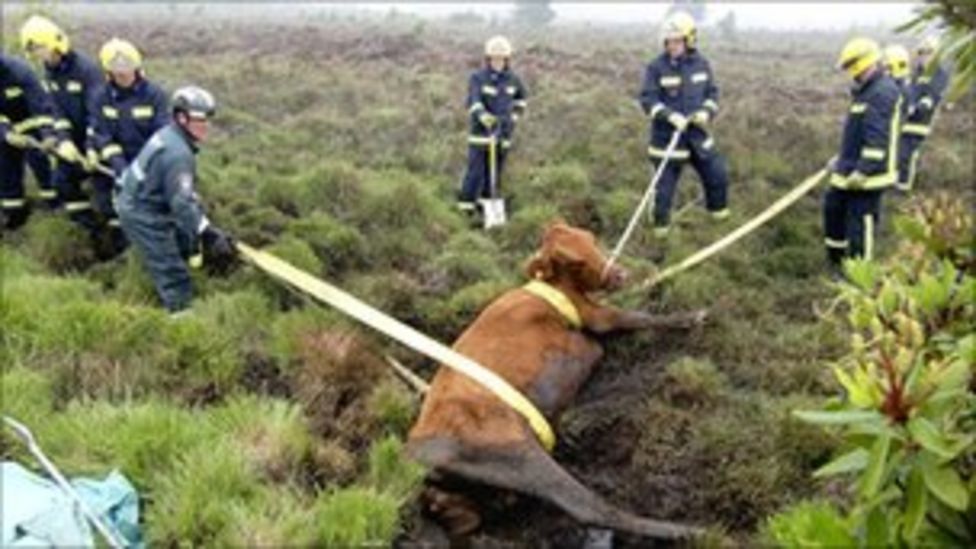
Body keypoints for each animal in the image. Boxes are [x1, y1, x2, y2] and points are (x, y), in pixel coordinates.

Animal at [407, 221, 706, 540]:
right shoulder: (597, 315)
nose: (619, 274)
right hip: (514, 452)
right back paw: (692, 531)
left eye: (591, 238)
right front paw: (691, 316)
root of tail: (416, 456)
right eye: (573, 261)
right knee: (589, 508)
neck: (554, 287)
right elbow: (636, 316)